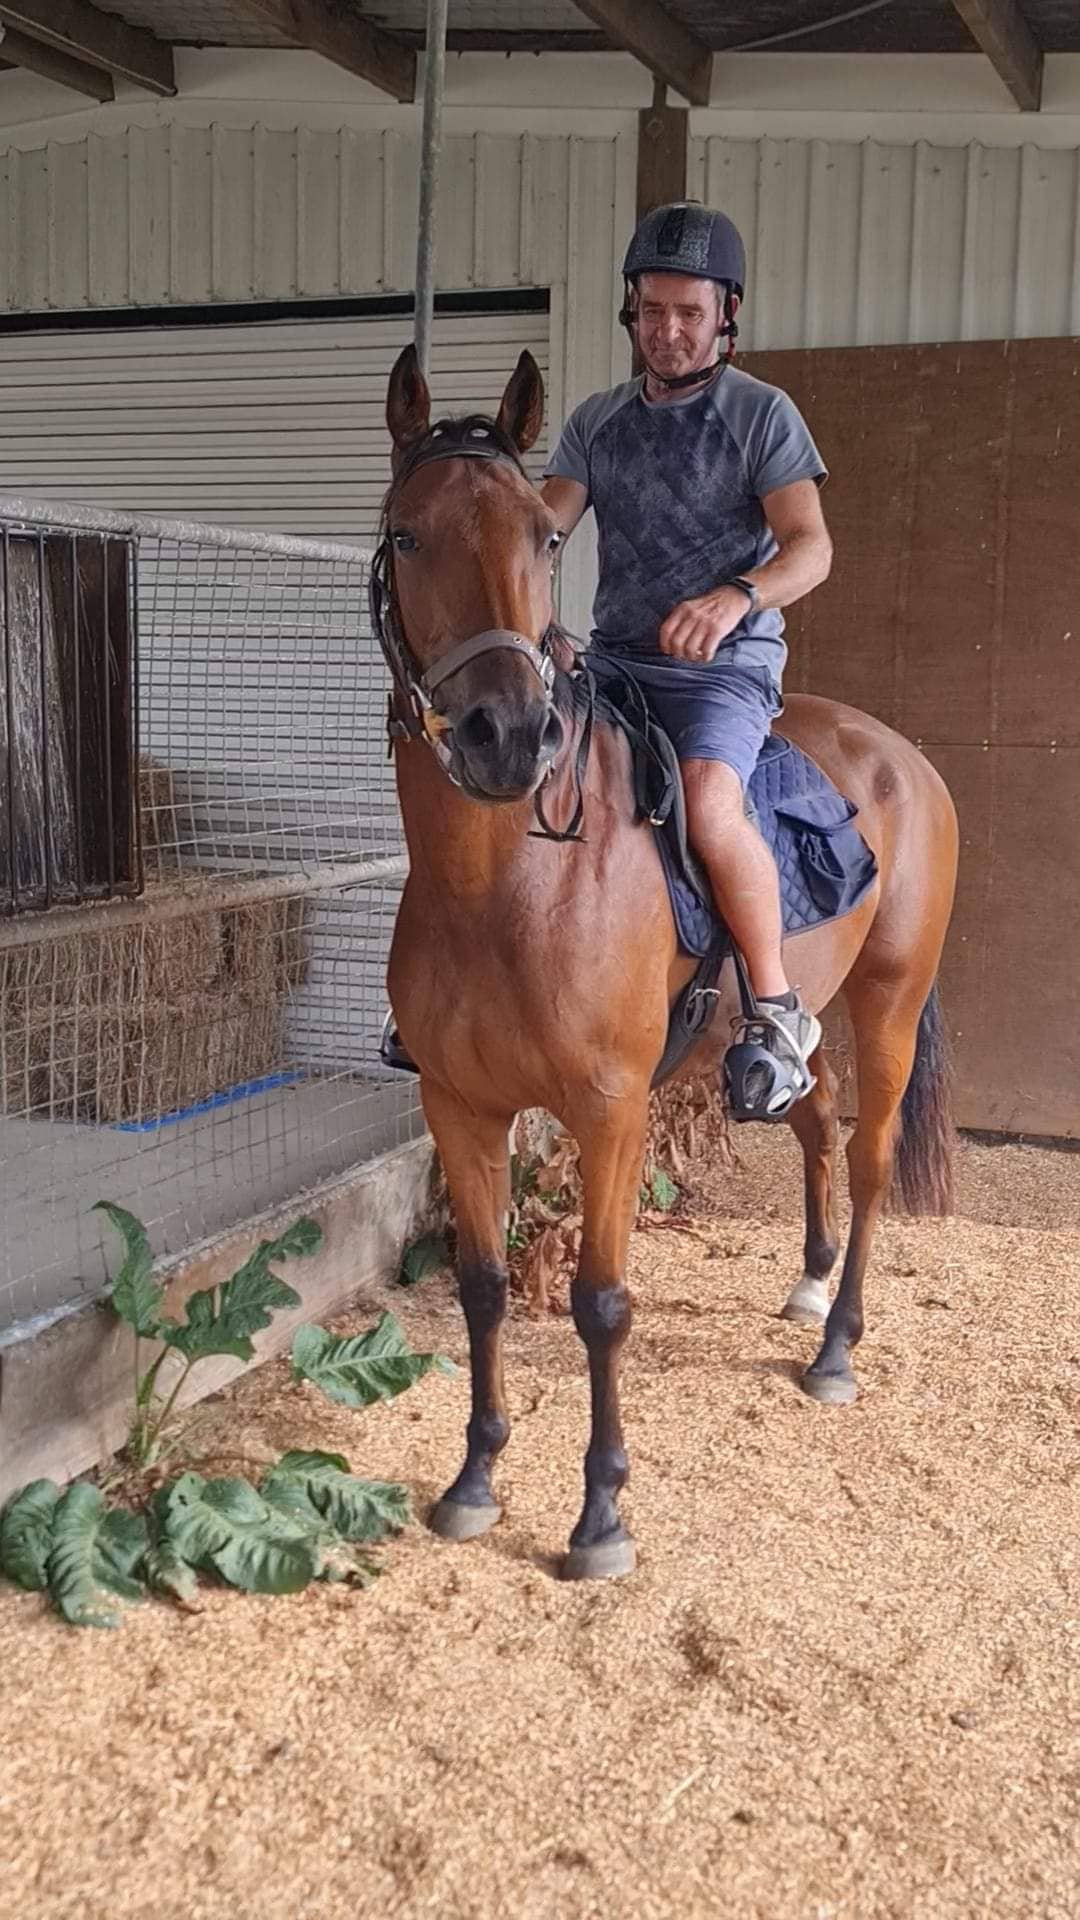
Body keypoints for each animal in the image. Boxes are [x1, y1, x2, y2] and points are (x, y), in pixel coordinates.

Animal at [374, 344, 958, 1582]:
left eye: (545, 539)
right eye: (407, 534)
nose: (507, 734)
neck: (504, 884)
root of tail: (905, 758)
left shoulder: (608, 1112)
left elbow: (600, 1301)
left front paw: (600, 1516)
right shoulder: (459, 1106)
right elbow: (483, 1285)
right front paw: (476, 1479)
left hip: (889, 1007)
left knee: (870, 1160)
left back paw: (838, 1348)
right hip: (795, 1029)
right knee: (812, 1123)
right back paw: (808, 1286)